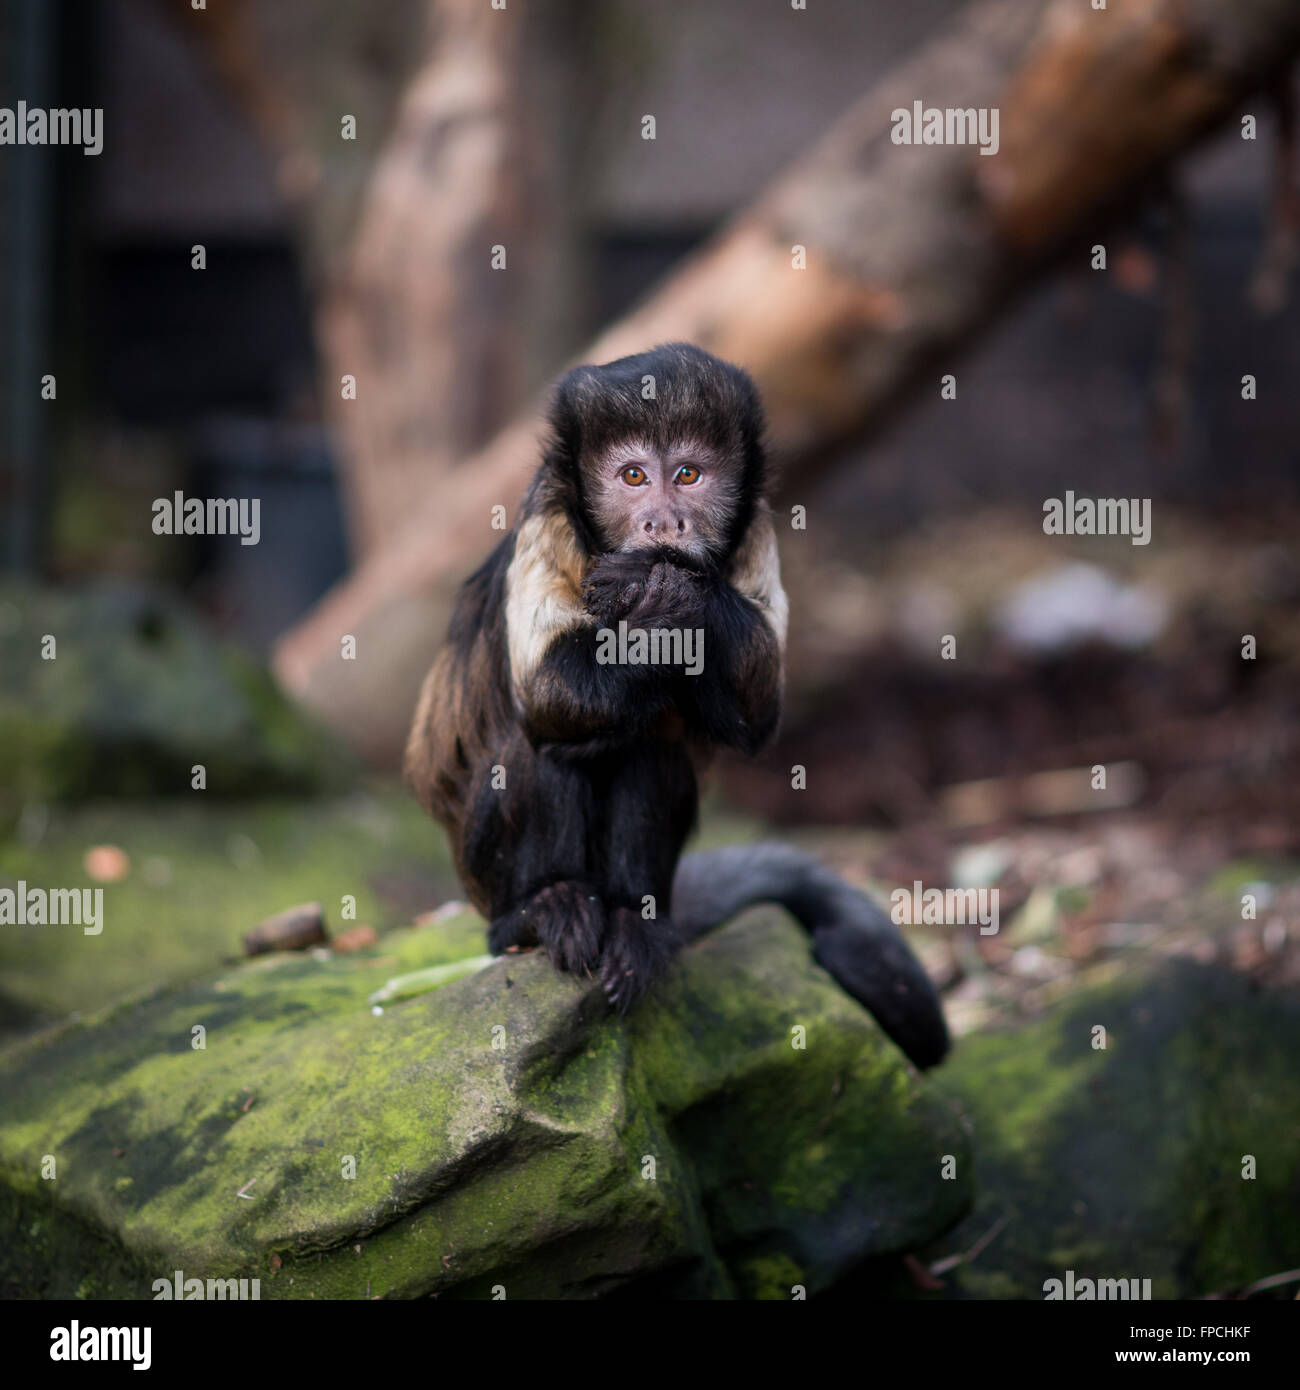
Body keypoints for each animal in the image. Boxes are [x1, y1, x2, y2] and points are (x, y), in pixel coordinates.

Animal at [405, 343, 949, 1067]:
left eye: (688, 474)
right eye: (634, 476)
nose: (663, 522)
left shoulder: (757, 525)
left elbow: (757, 715)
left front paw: (675, 590)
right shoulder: (546, 512)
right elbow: (549, 691)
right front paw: (656, 595)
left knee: (650, 751)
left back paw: (636, 925)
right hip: (478, 876)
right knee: (542, 746)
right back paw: (541, 910)